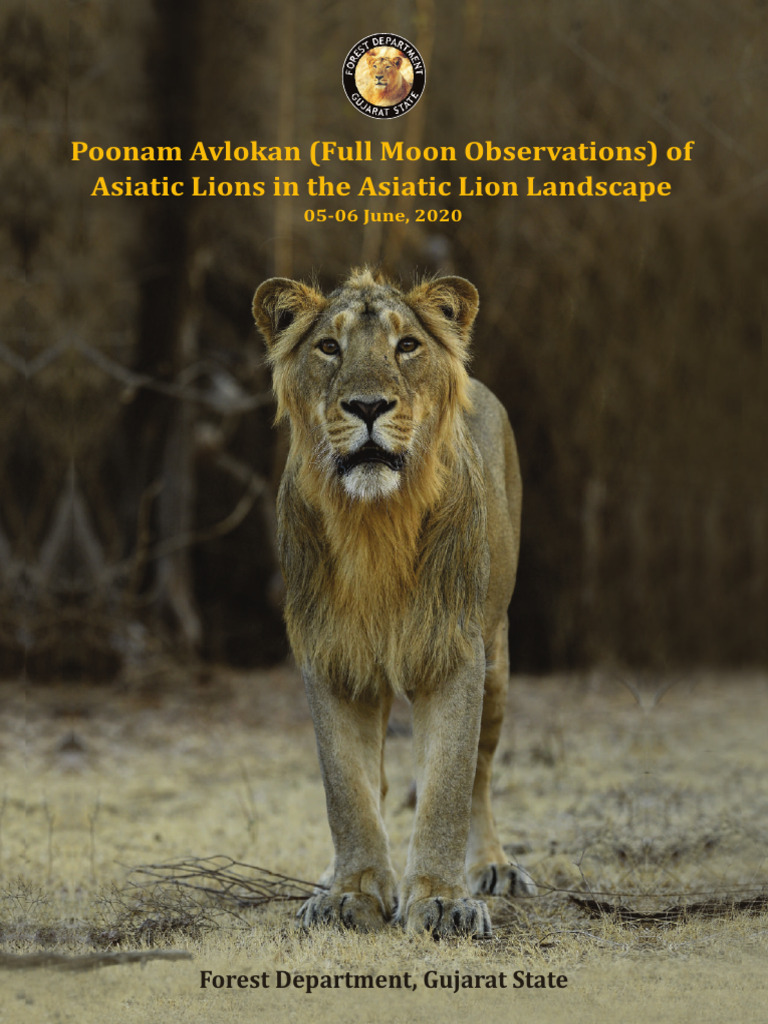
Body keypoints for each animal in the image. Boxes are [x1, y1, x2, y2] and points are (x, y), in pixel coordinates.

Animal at [252, 267, 535, 937]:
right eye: (329, 347)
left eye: (406, 346)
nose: (368, 406)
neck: (373, 524)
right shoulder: (331, 656)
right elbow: (348, 790)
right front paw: (350, 891)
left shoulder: (455, 650)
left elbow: (448, 785)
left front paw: (442, 899)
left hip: (498, 656)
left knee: (482, 774)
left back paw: (492, 866)